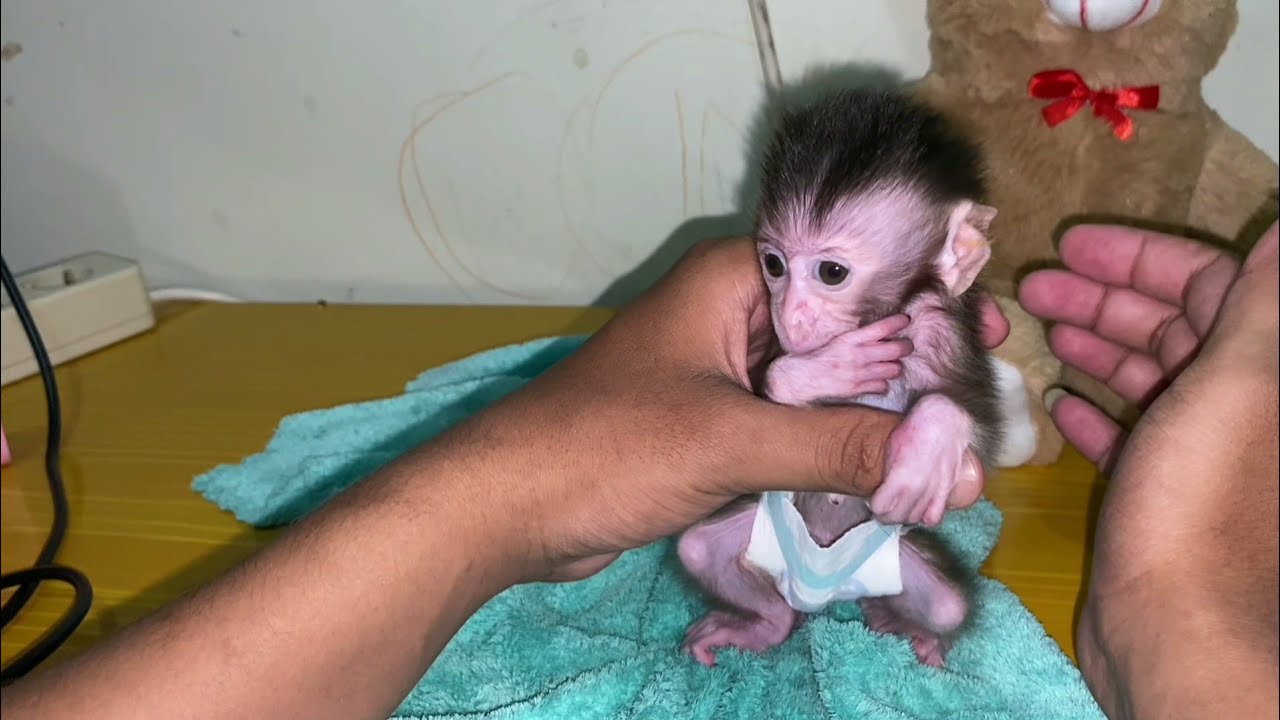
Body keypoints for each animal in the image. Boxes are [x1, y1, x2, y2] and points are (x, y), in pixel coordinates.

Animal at [677, 87, 1005, 669]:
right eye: (773, 265)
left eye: (832, 273)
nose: (792, 316)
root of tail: (823, 594)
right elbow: (767, 388)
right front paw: (825, 370)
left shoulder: (944, 331)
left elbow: (977, 430)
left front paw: (930, 449)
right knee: (698, 549)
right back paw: (764, 624)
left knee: (948, 606)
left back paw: (911, 631)